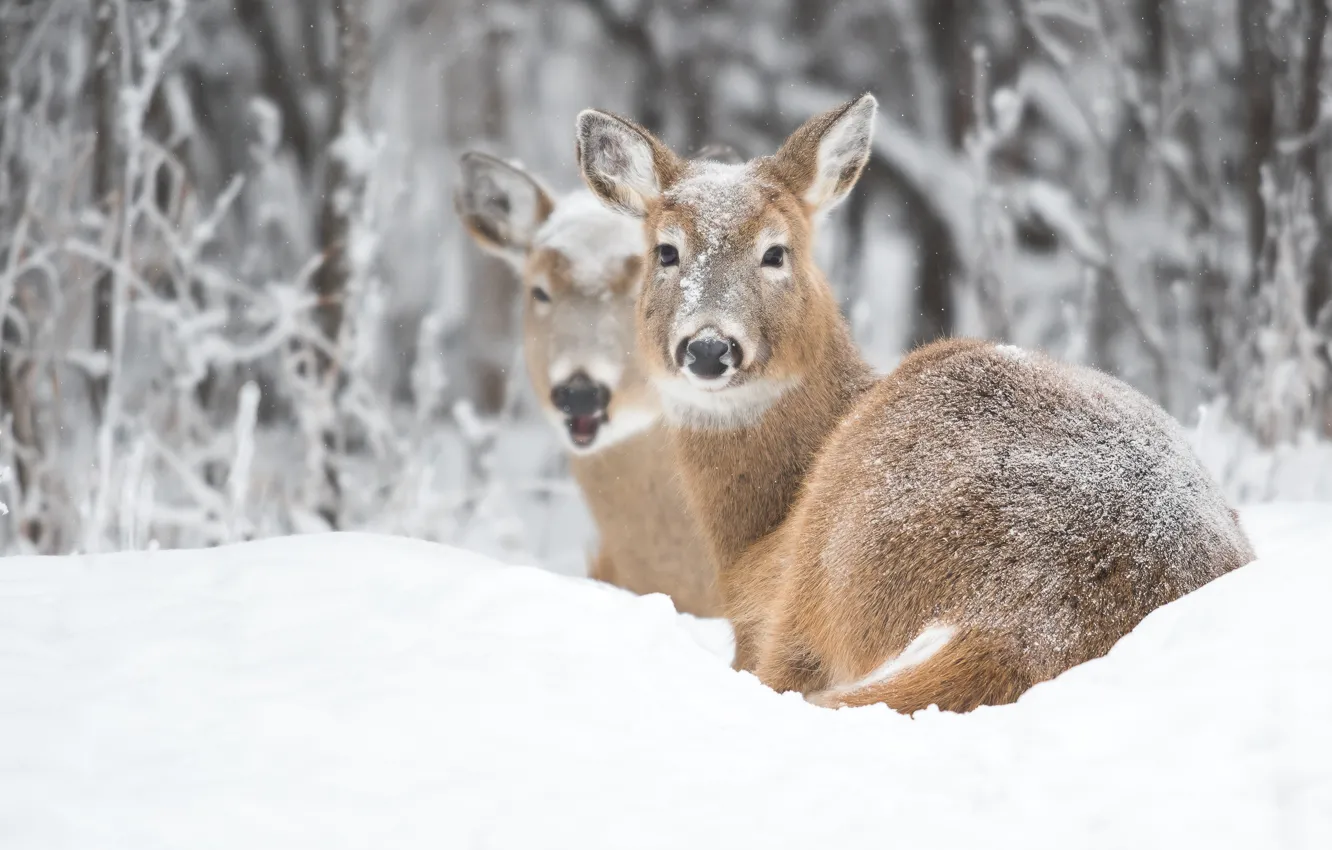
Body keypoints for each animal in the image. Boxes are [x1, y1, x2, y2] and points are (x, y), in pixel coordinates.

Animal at [574, 94, 1256, 713]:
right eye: (666, 251)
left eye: (775, 251)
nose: (710, 347)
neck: (757, 529)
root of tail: (1026, 626)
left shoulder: (764, 614)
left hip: (835, 556)